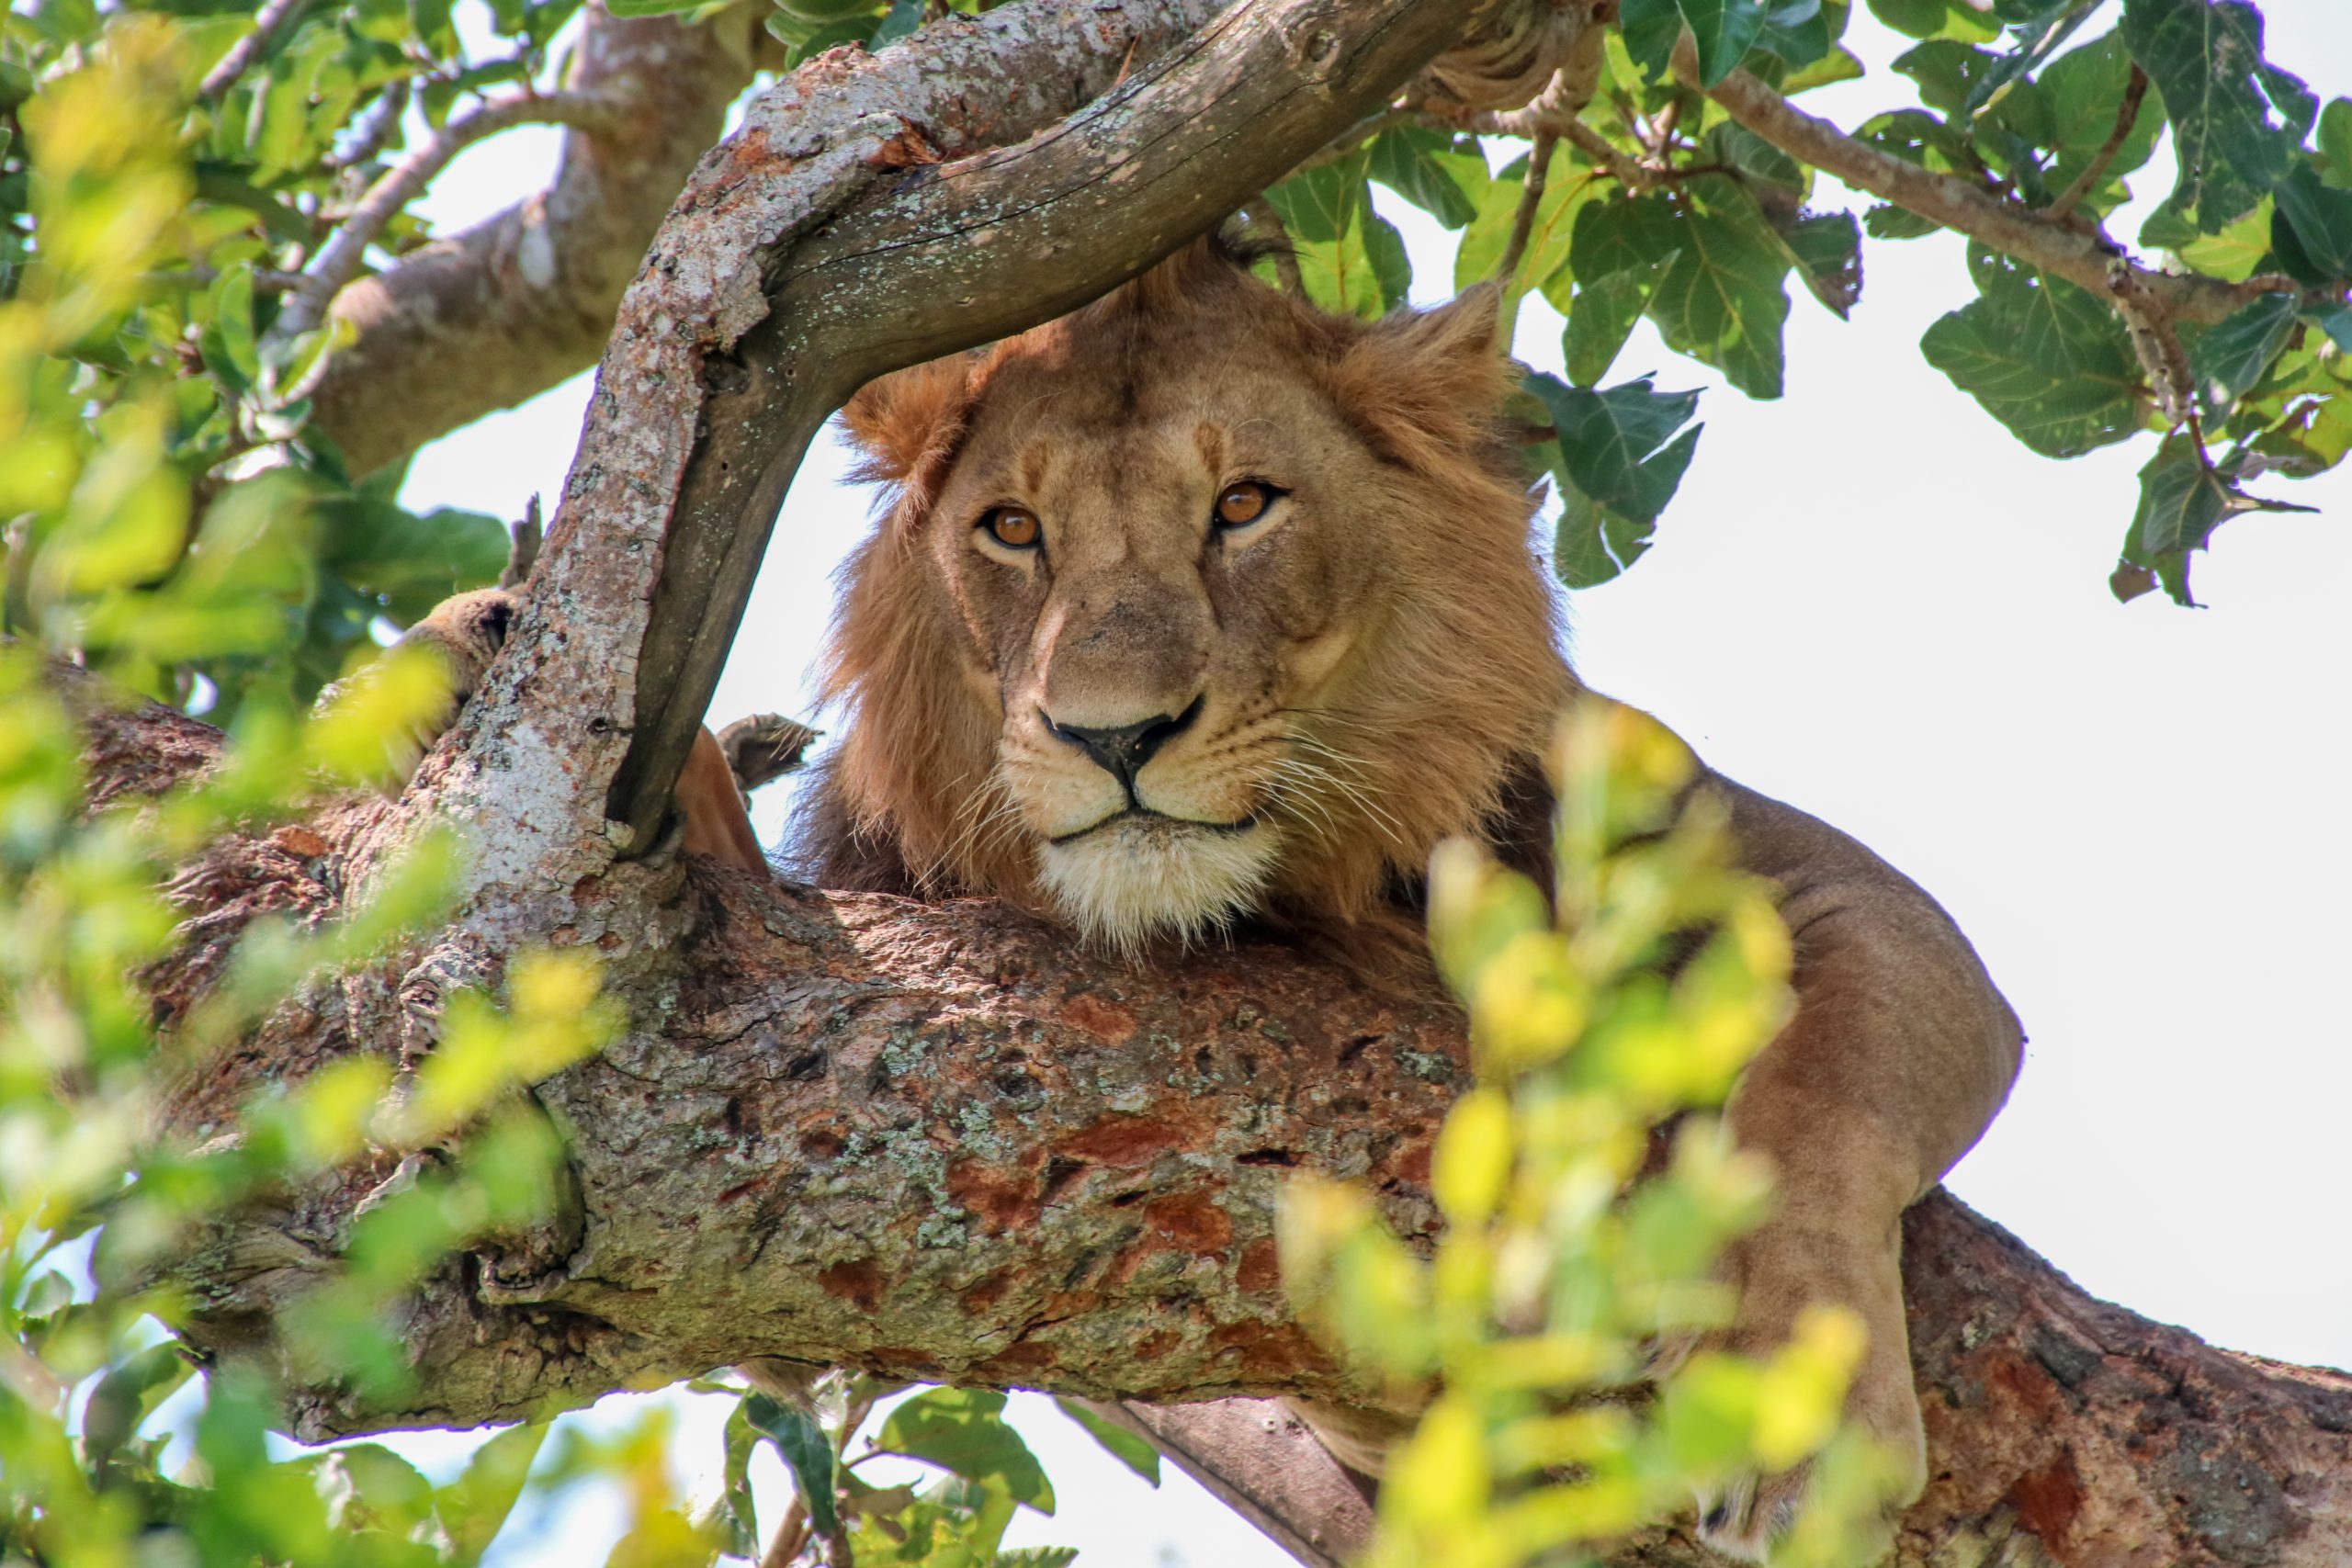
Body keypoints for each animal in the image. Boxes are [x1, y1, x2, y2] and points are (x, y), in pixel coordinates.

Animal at [395, 238, 2020, 1560]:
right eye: (1011, 529)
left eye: (1244, 504)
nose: (1114, 734)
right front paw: (484, 646)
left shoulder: (1835, 895)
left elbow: (1819, 1097)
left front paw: (1799, 1418)